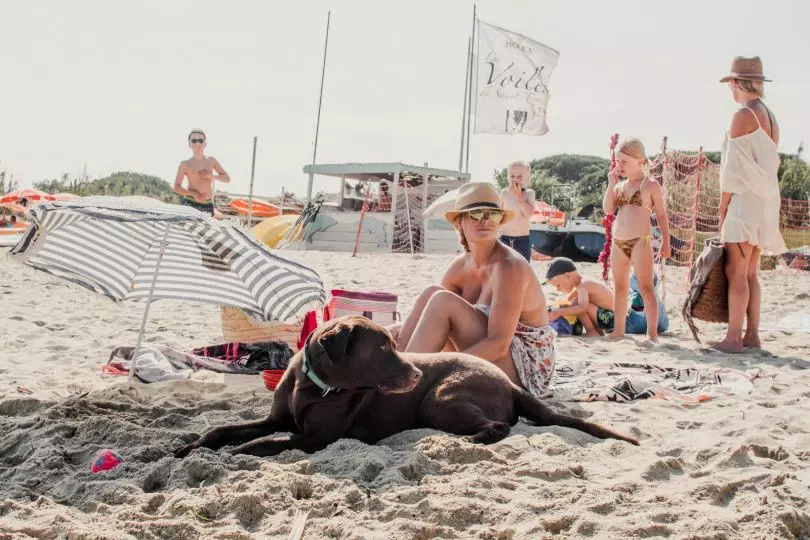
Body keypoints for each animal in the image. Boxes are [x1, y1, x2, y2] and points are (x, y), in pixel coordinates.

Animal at [177, 314, 636, 458]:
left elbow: (263, 444)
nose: (415, 373)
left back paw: (466, 443)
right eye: (382, 347)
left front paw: (237, 454)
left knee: (500, 428)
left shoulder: (313, 440)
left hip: (441, 400)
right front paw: (189, 447)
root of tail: (510, 383)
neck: (312, 385)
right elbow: (223, 429)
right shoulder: (276, 419)